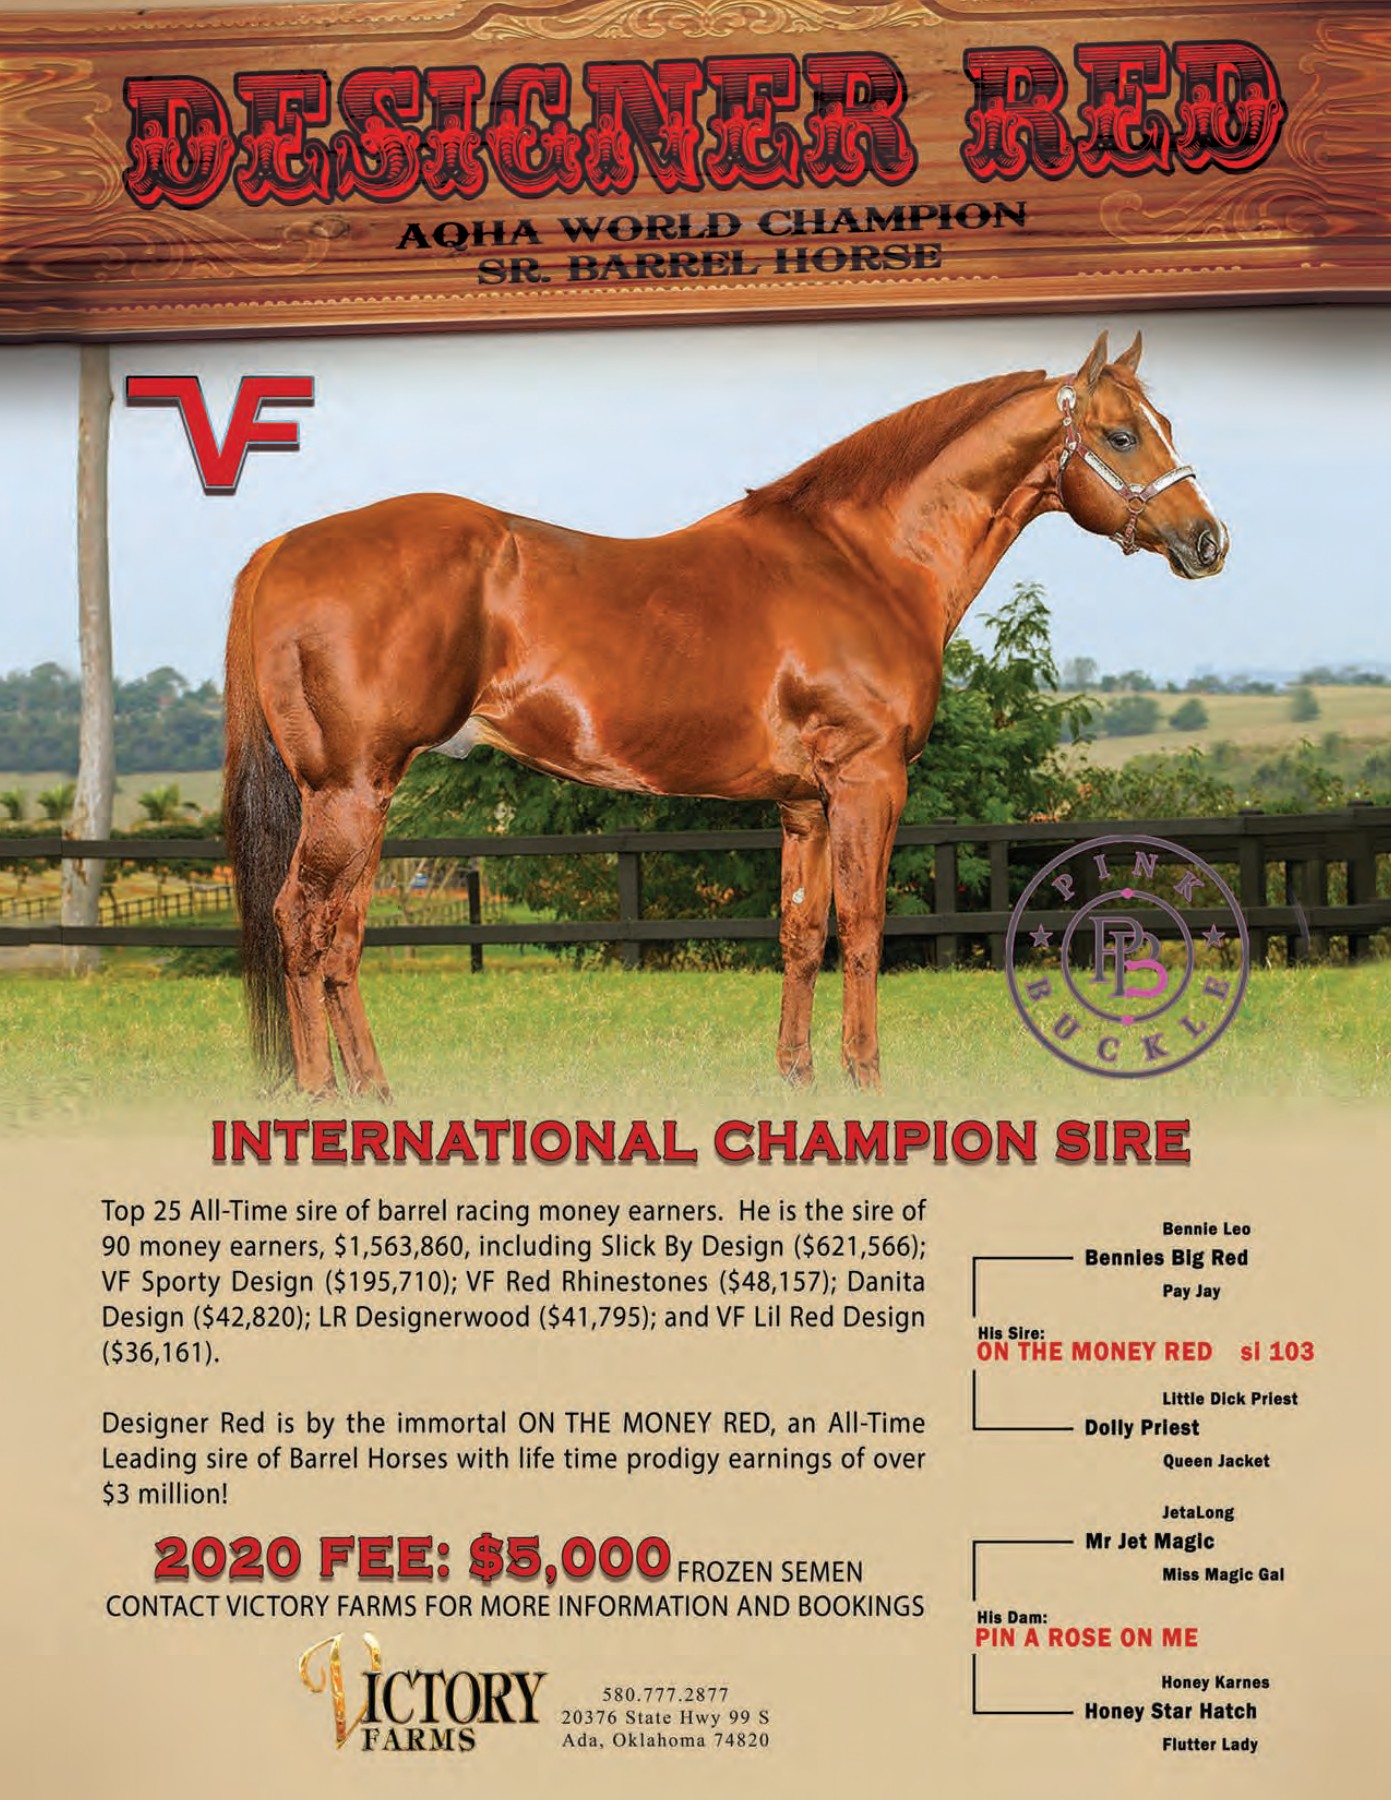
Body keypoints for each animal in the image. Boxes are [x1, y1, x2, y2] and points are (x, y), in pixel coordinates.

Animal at [224, 330, 1227, 1099]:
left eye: (1165, 426)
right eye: (1121, 434)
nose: (1208, 540)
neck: (862, 561)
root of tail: (281, 550)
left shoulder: (803, 803)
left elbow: (801, 931)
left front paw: (797, 1077)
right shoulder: (866, 781)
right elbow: (864, 925)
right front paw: (866, 1078)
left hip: (364, 798)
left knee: (341, 937)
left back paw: (373, 1092)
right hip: (350, 791)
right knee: (302, 925)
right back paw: (323, 1096)